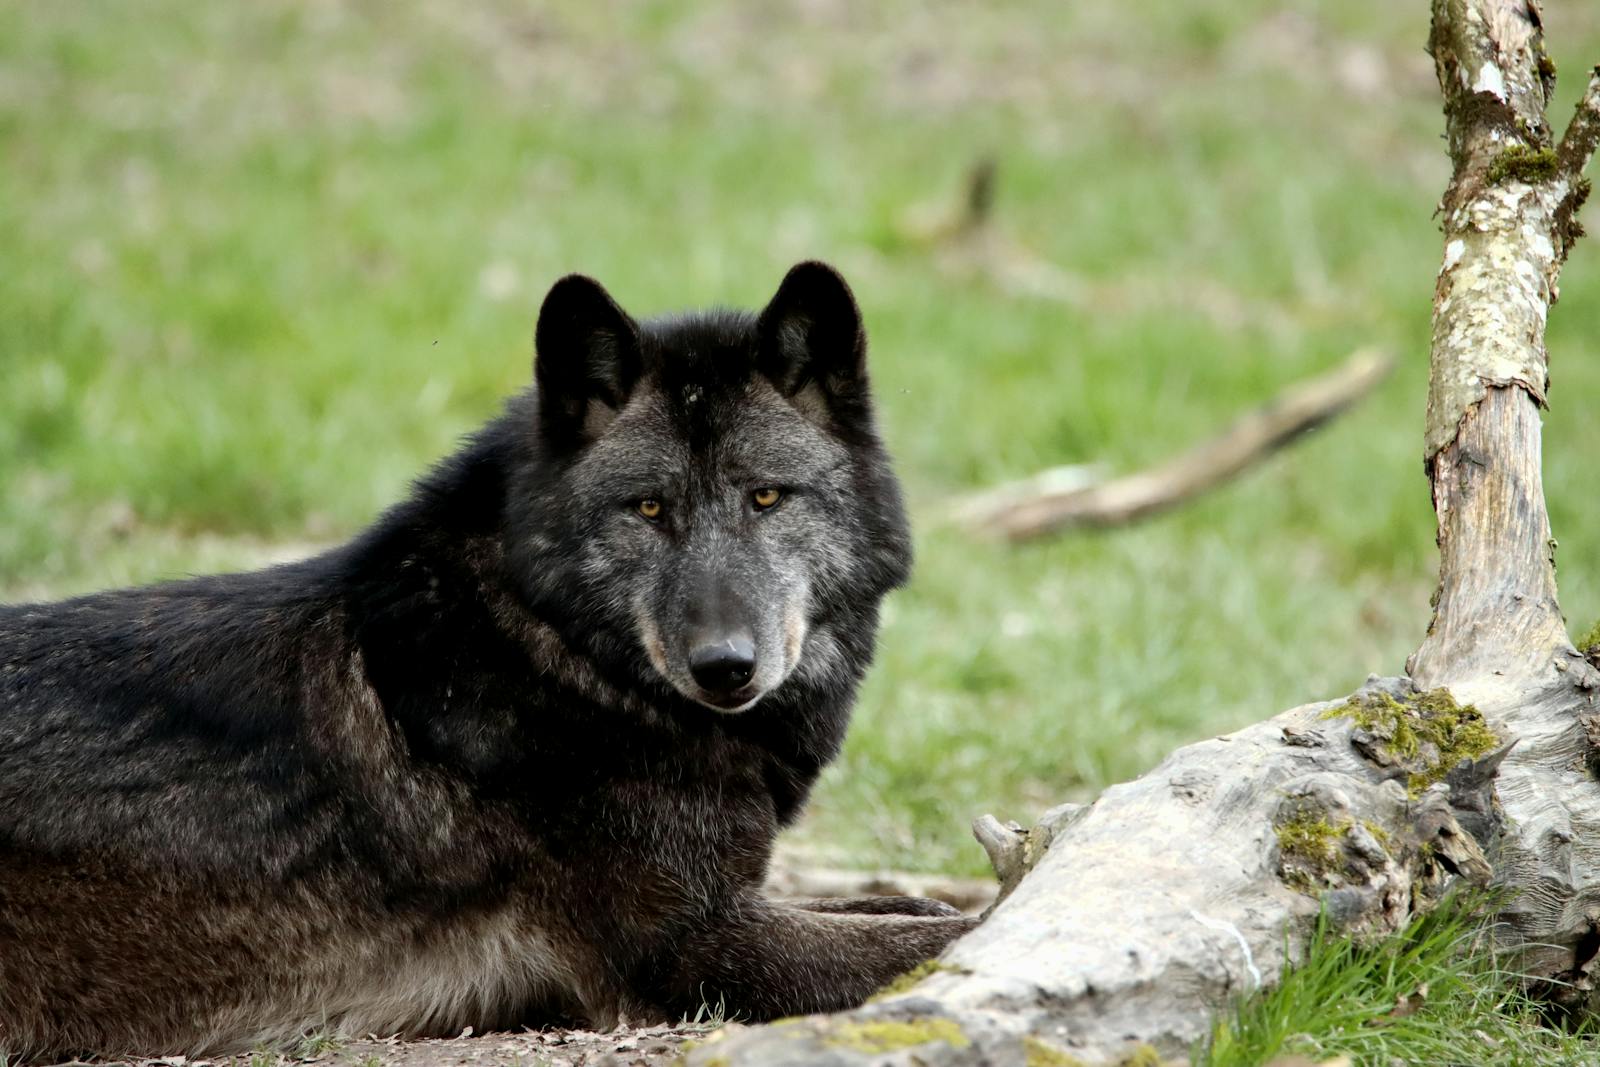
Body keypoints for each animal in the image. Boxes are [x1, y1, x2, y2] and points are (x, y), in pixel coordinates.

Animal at [0, 262, 976, 1060]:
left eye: (767, 497)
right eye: (649, 508)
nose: (723, 666)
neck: (553, 652)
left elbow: (911, 911)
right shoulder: (691, 949)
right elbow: (936, 937)